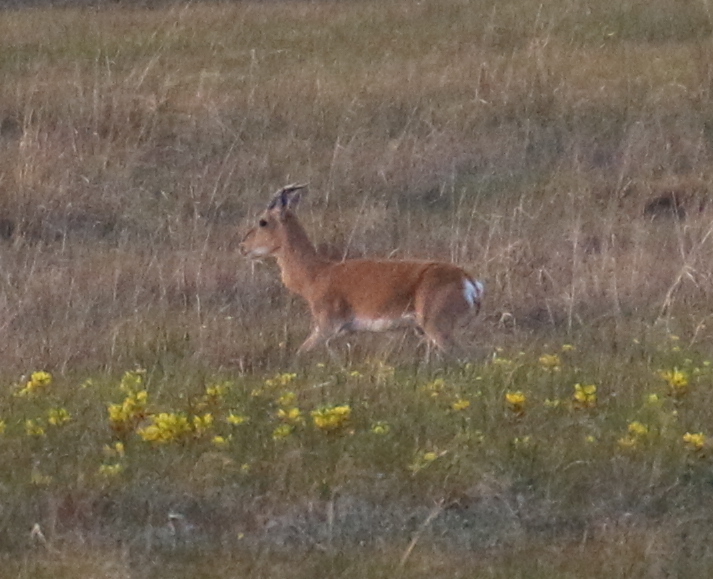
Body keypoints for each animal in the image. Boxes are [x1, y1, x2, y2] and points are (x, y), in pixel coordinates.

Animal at [240, 184, 484, 357]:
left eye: (262, 221)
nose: (242, 246)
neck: (318, 273)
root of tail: (468, 281)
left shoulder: (326, 328)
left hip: (438, 330)